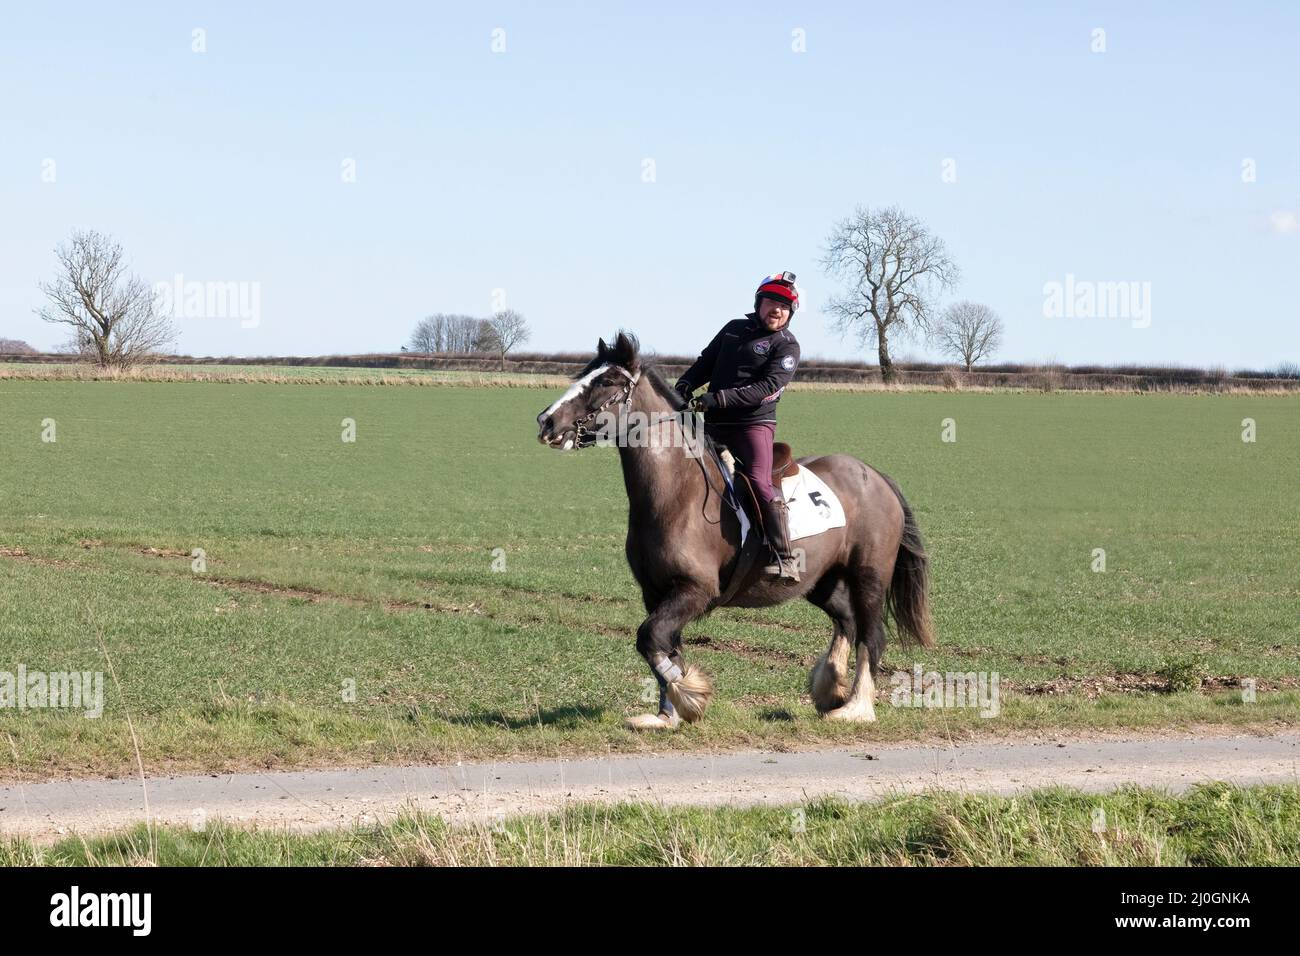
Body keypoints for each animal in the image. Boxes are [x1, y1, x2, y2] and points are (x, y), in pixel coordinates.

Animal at [535, 331, 934, 730]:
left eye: (606, 381)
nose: (546, 422)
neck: (678, 494)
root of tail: (875, 476)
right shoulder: (657, 592)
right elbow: (664, 646)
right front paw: (667, 715)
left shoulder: (695, 590)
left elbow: (650, 638)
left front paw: (690, 696)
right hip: (822, 581)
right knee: (847, 621)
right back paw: (830, 690)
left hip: (869, 577)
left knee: (872, 636)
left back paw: (855, 709)